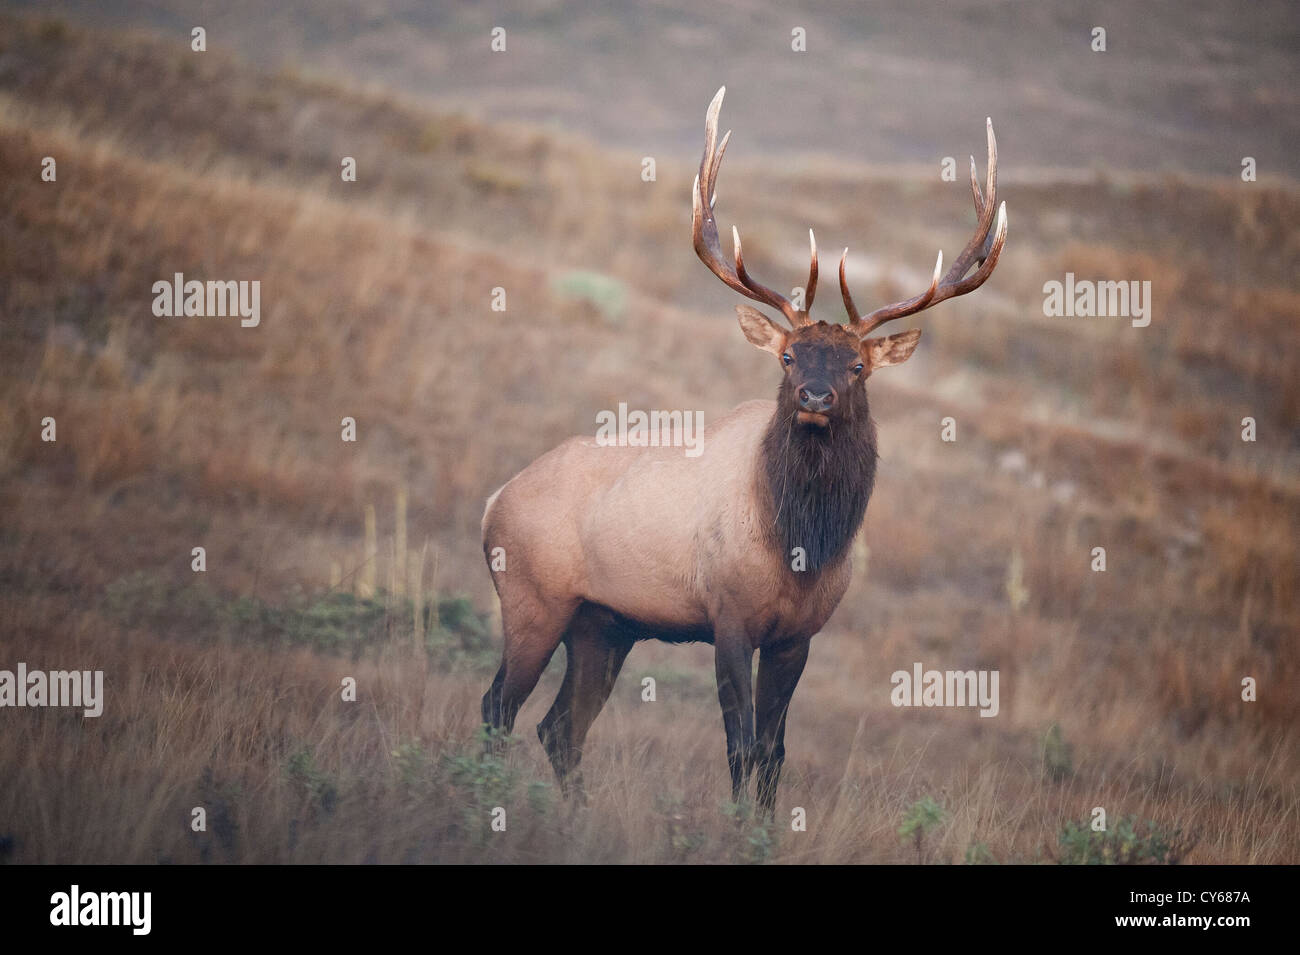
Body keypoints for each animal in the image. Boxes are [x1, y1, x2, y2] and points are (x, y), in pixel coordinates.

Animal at [480, 86, 1007, 815]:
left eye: (857, 367)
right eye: (788, 357)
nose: (814, 395)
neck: (802, 543)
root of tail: (492, 502)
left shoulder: (798, 635)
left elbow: (776, 755)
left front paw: (763, 827)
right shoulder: (728, 616)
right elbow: (741, 747)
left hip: (603, 623)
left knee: (559, 727)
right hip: (532, 599)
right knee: (498, 706)